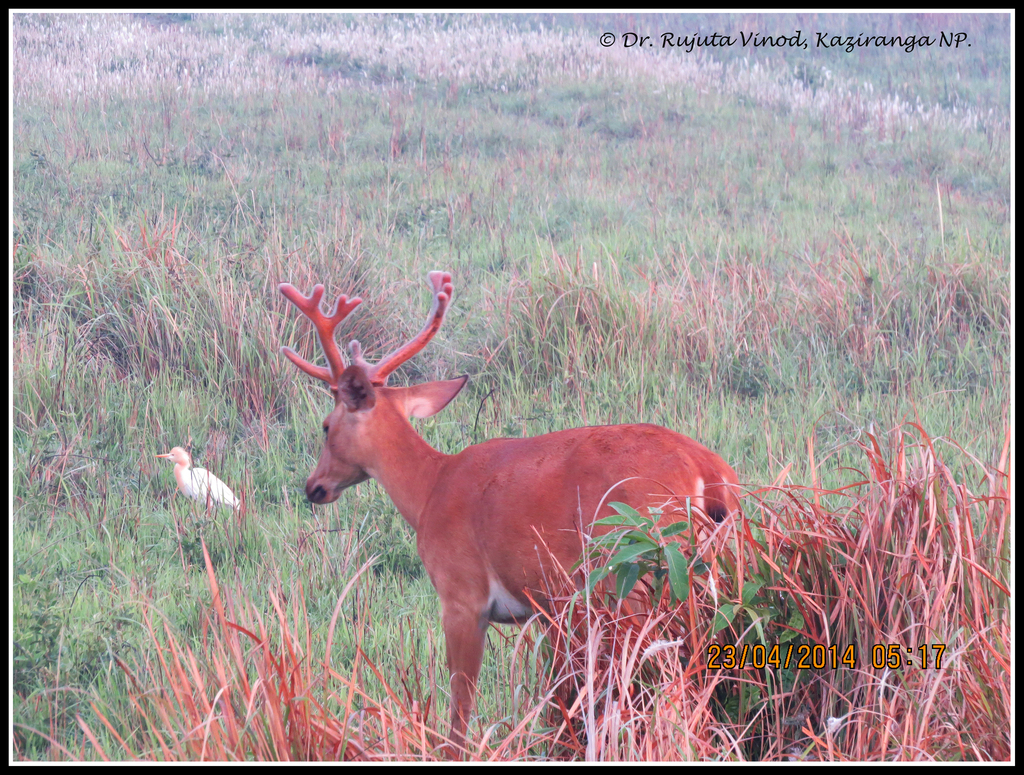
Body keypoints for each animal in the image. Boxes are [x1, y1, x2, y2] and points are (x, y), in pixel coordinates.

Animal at [278, 271, 740, 754]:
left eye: (326, 426)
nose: (314, 487)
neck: (430, 488)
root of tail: (708, 471)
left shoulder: (463, 595)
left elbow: (461, 703)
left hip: (636, 573)